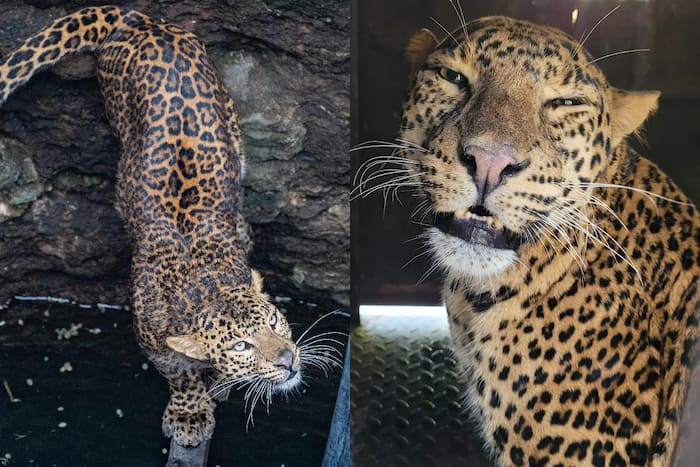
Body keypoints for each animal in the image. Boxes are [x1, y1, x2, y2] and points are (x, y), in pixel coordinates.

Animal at [0, 6, 304, 448]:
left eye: (273, 322)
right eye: (241, 345)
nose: (288, 360)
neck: (205, 283)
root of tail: (139, 20)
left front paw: (220, 384)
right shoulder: (154, 345)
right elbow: (180, 375)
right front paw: (191, 413)